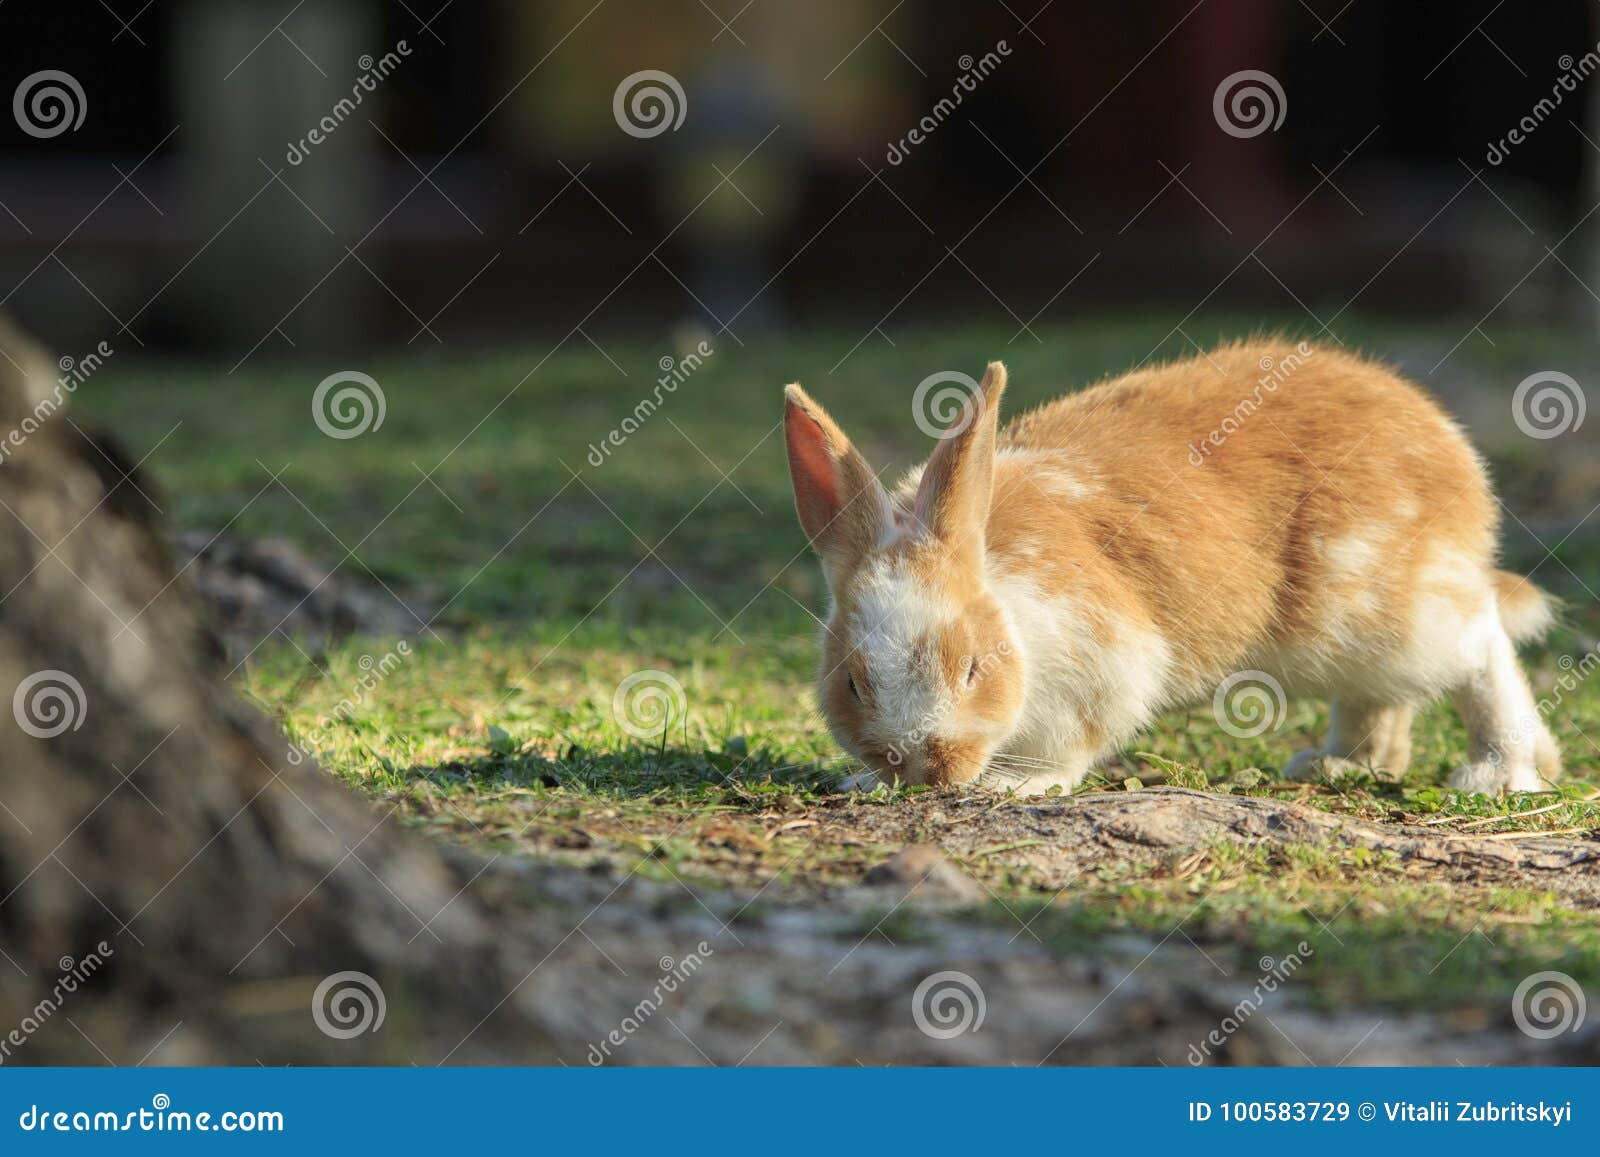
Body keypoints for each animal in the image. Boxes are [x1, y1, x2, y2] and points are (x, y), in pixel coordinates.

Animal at [783, 340, 1562, 796]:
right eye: (851, 682)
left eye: (972, 668)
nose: (924, 768)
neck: (1001, 595)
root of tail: (1451, 452)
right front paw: (863, 785)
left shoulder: (1103, 665)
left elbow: (1069, 750)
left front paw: (1013, 787)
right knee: (1383, 696)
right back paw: (1340, 764)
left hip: (1380, 612)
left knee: (1482, 646)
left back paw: (1501, 774)